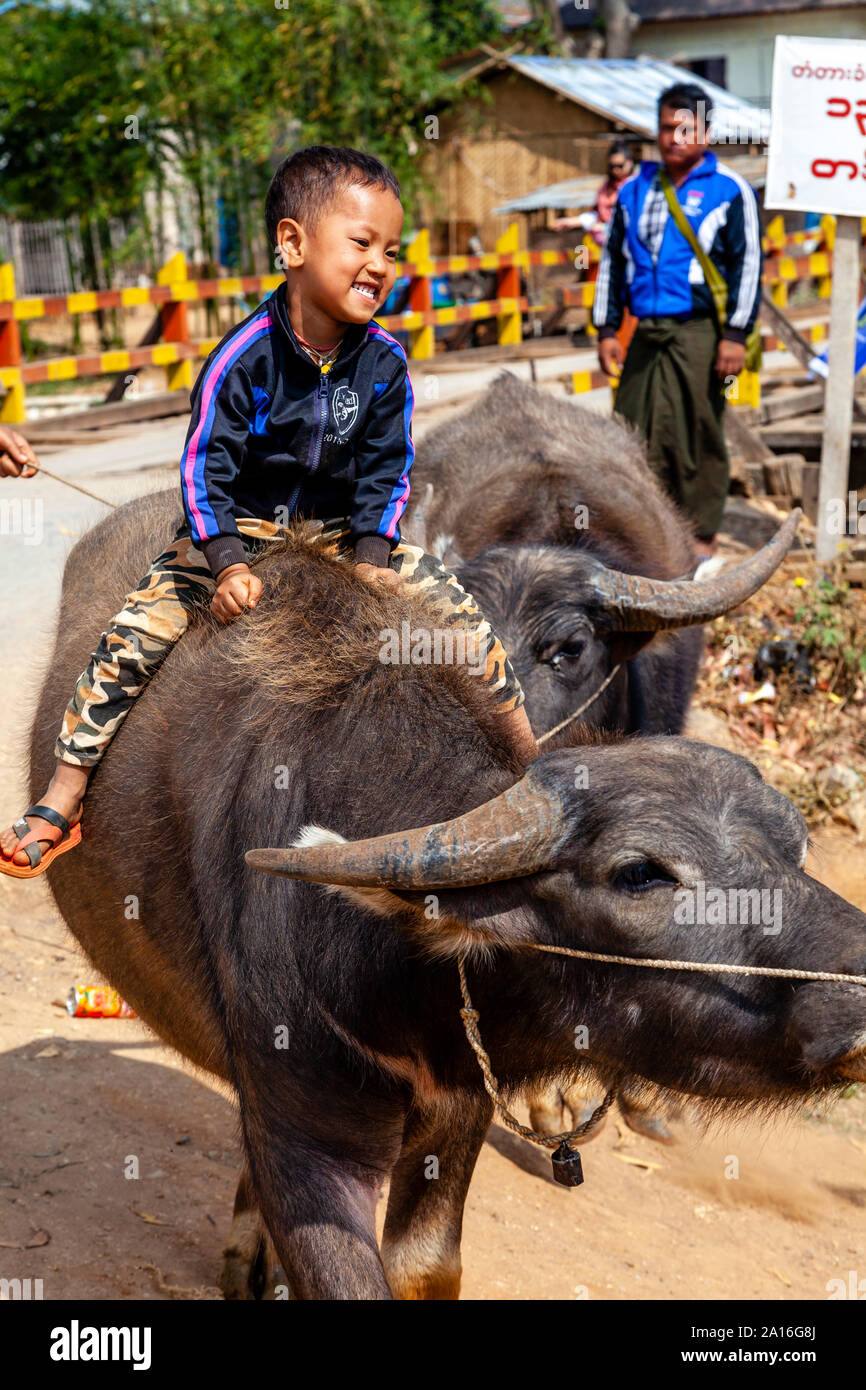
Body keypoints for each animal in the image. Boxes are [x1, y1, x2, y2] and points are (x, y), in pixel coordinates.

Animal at [29, 489, 866, 1300]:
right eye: (641, 873)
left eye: (792, 843)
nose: (857, 1001)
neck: (393, 977)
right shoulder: (303, 1141)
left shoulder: (458, 1108)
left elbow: (428, 1267)